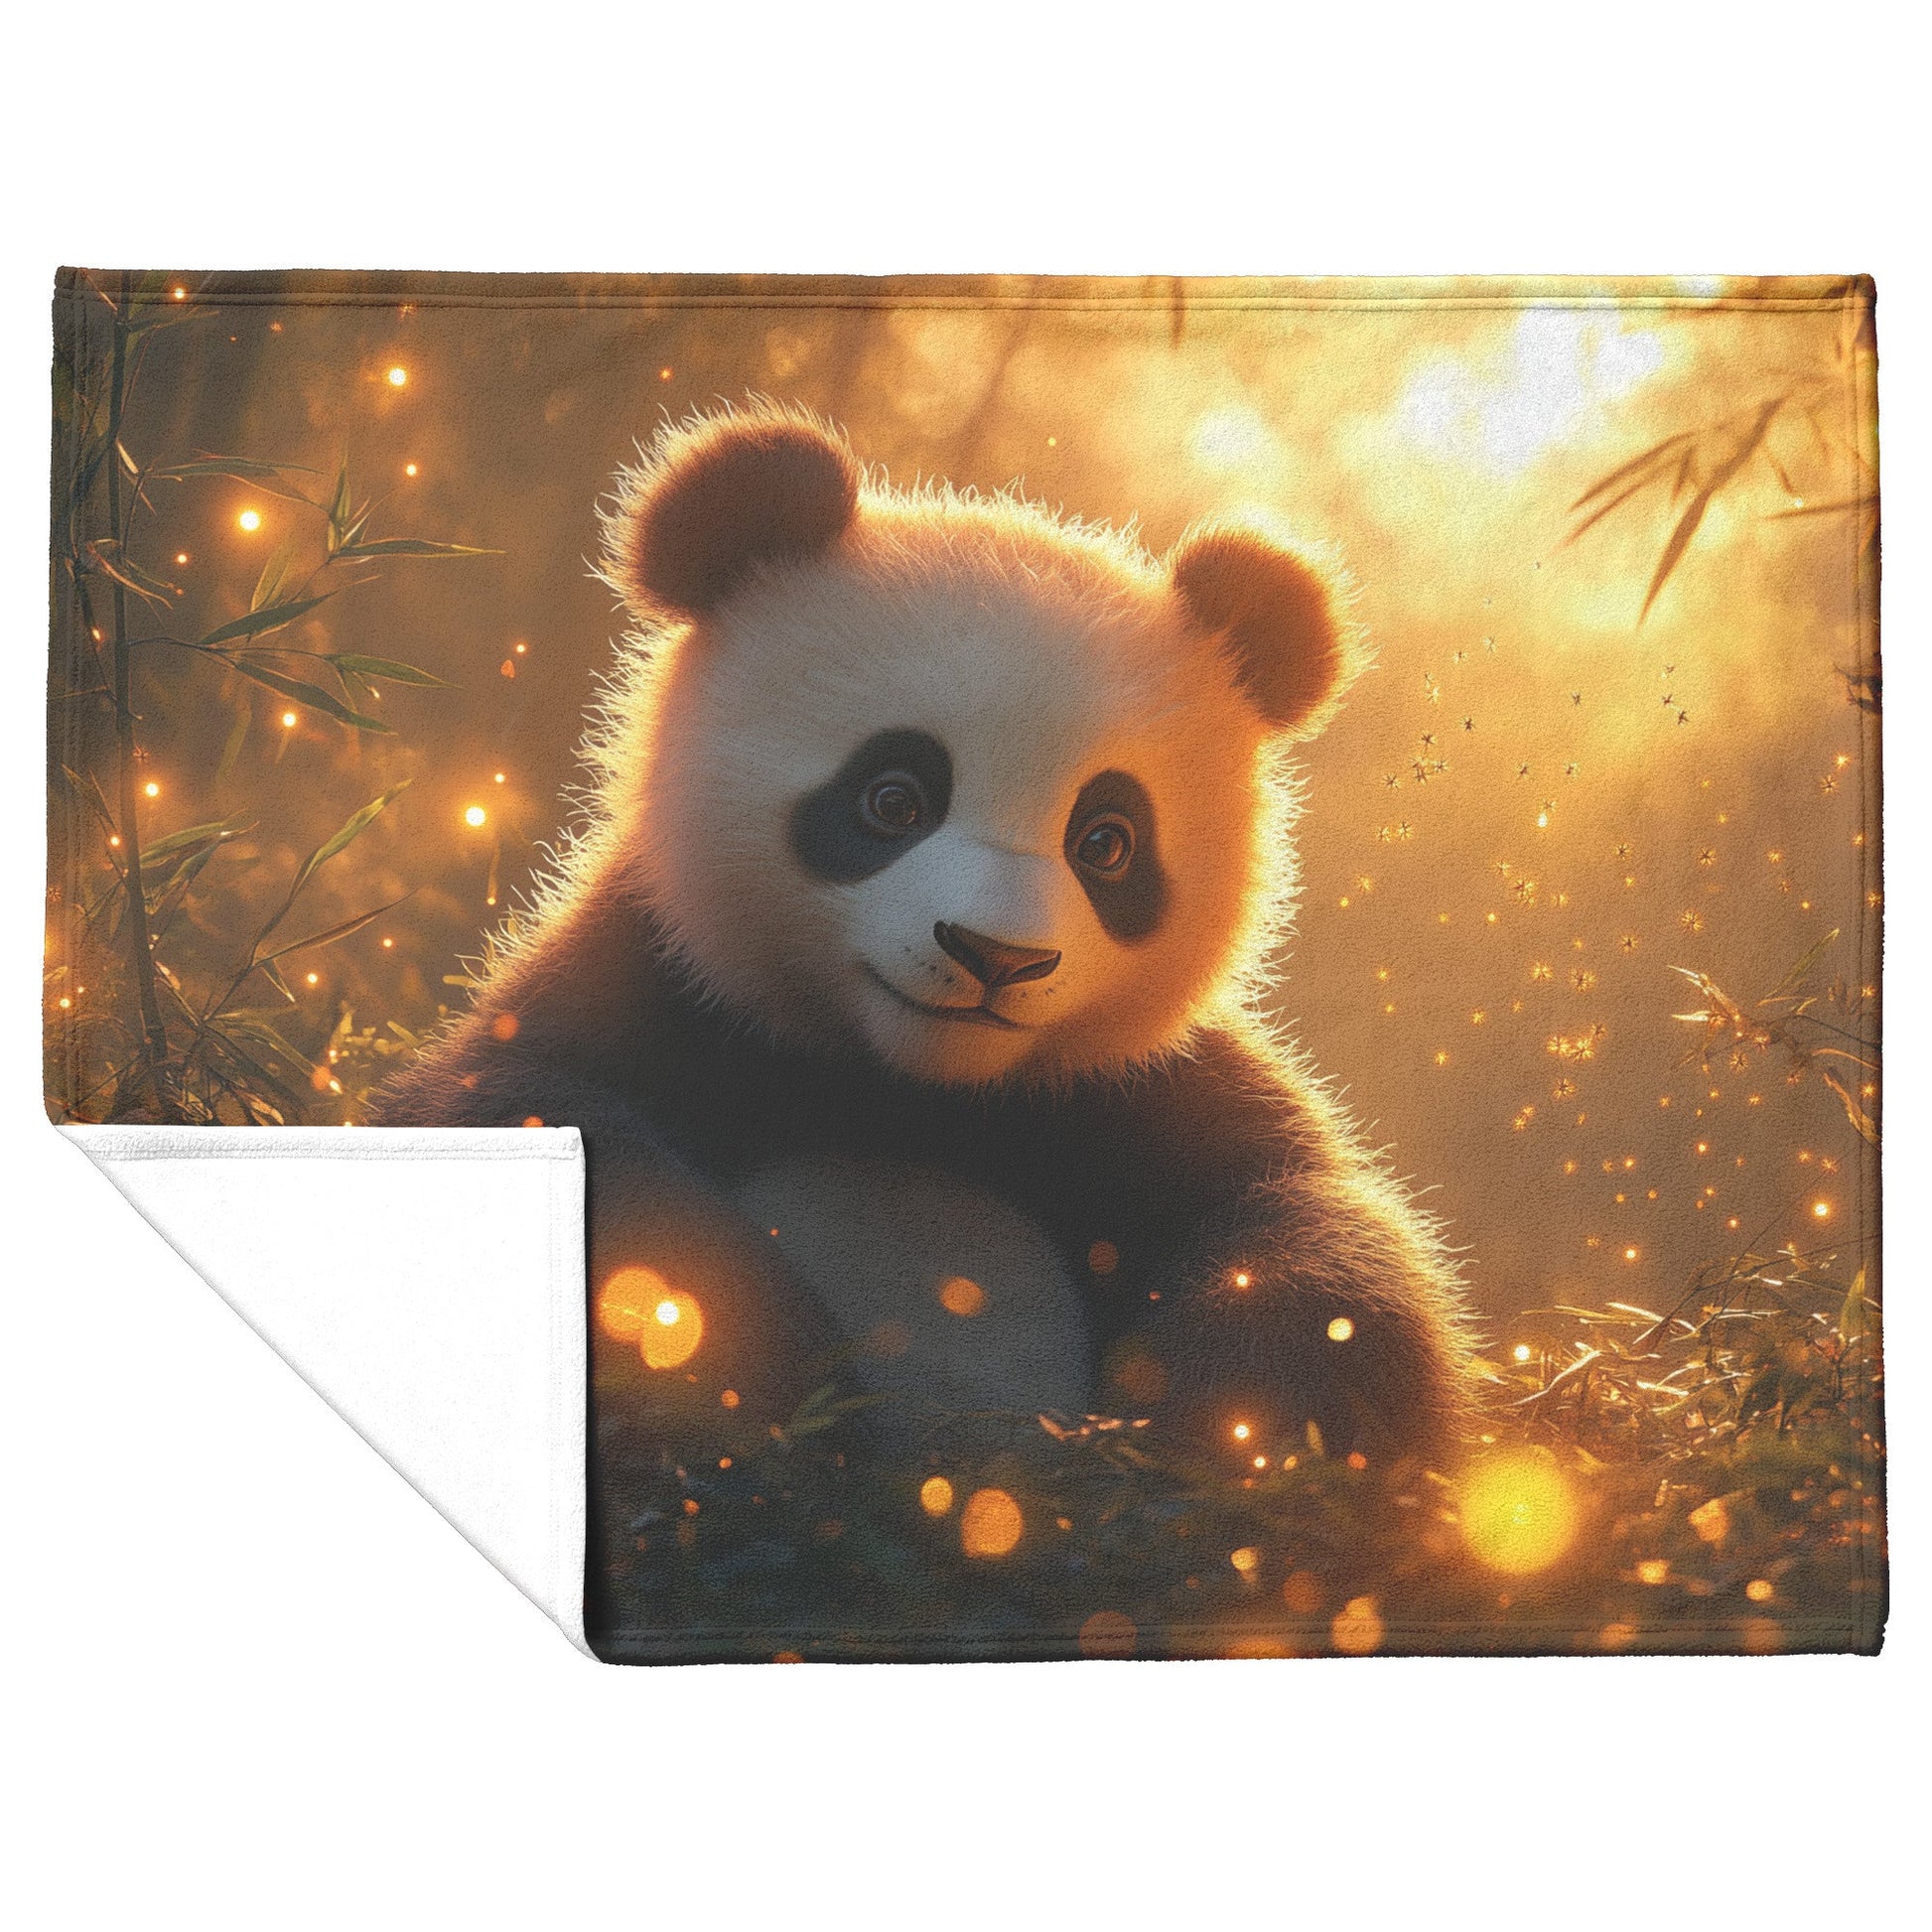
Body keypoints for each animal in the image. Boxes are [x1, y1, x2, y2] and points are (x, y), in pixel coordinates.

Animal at [376, 404, 1476, 1466]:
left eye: (1107, 843)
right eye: (893, 798)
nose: (998, 956)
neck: (908, 1090)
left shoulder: (1129, 1084)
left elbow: (1311, 1234)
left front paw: (1227, 1436)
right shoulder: (664, 986)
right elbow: (560, 1144)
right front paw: (762, 1397)